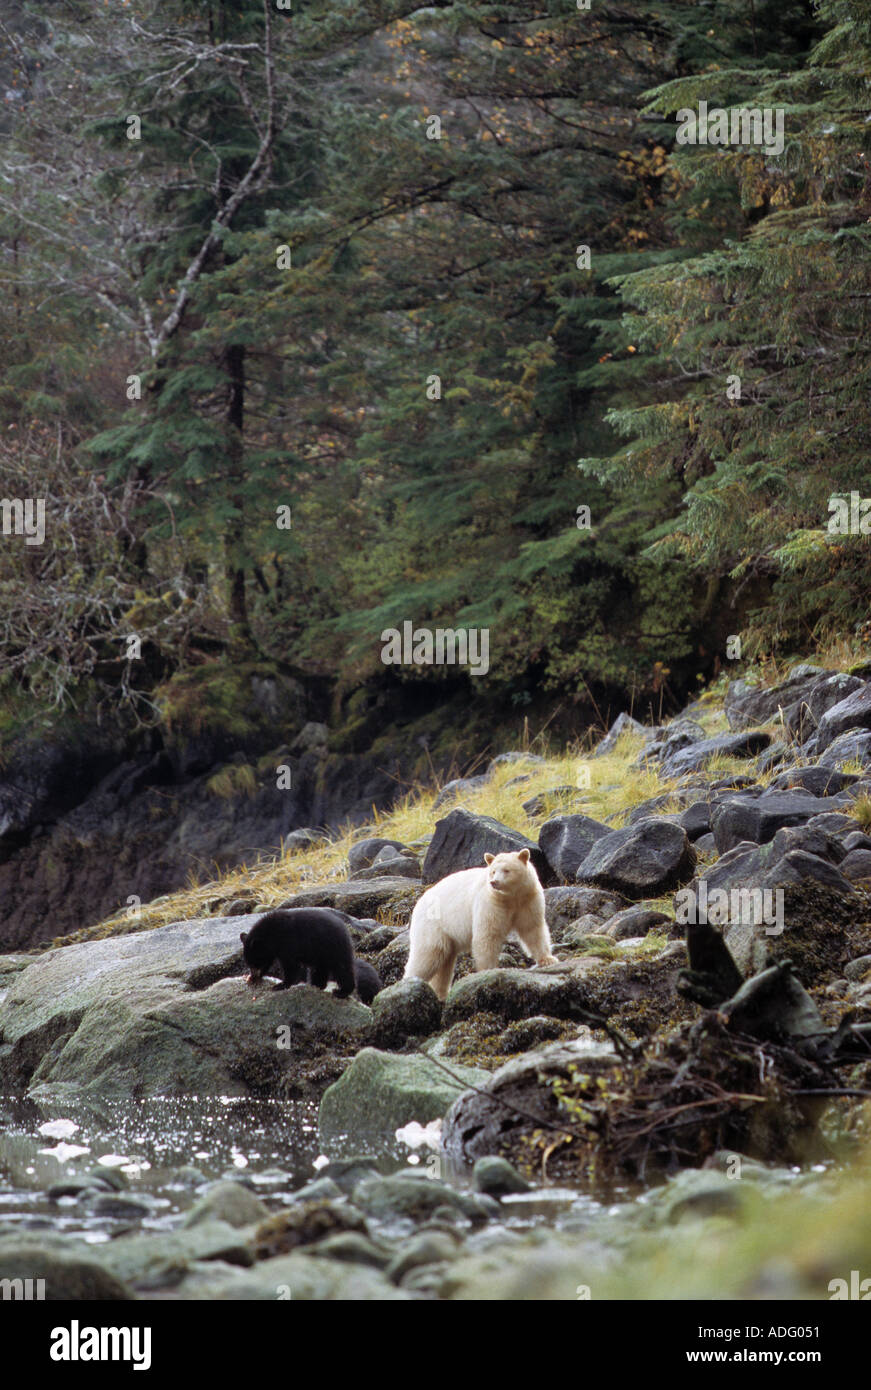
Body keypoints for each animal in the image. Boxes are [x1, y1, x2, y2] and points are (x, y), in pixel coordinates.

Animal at [403, 848, 557, 1000]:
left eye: (506, 870)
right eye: (493, 871)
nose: (494, 882)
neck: (510, 897)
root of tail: (419, 903)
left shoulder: (527, 899)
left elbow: (532, 928)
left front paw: (548, 959)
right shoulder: (491, 902)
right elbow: (488, 935)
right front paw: (488, 970)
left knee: (444, 963)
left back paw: (440, 994)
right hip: (432, 924)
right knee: (428, 954)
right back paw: (410, 982)